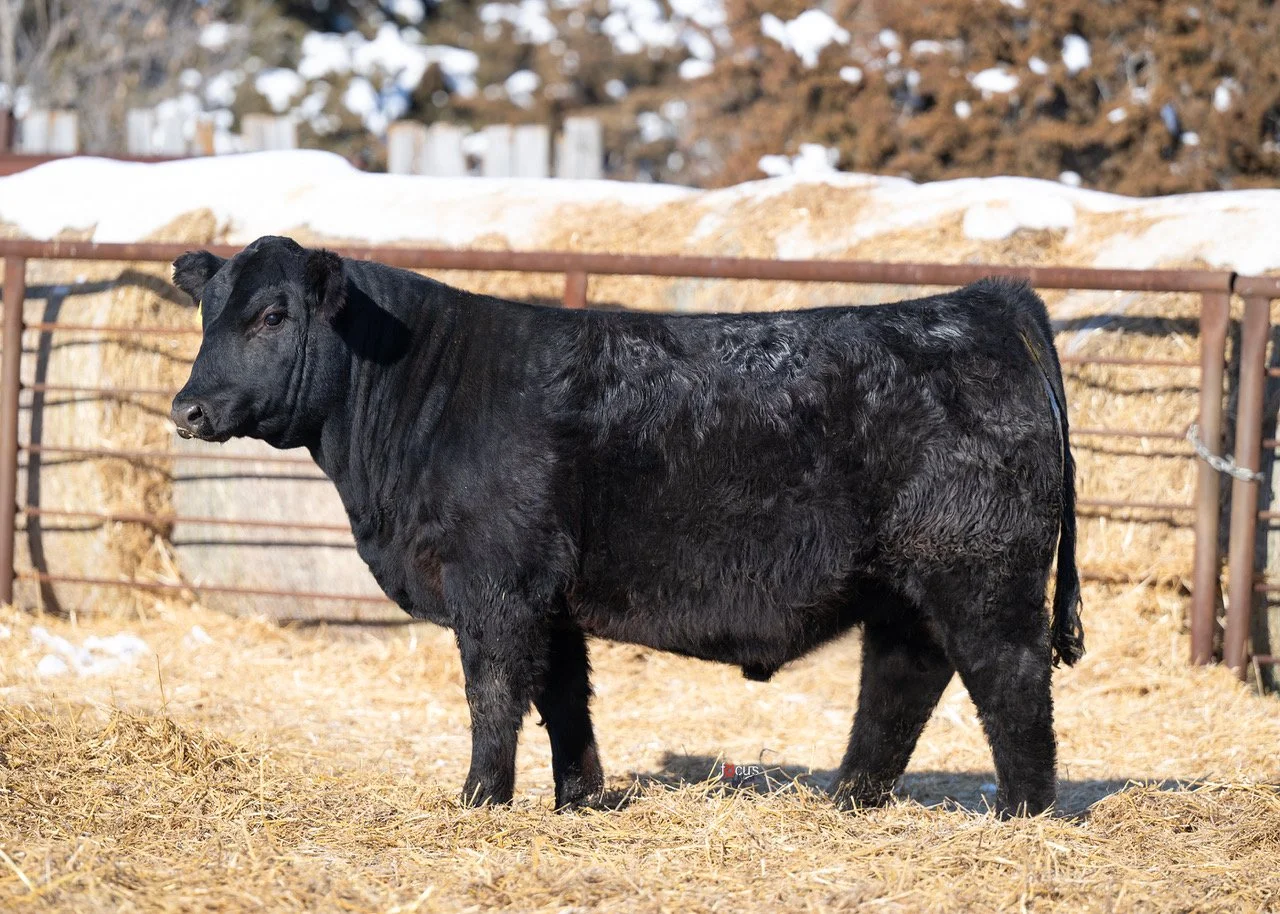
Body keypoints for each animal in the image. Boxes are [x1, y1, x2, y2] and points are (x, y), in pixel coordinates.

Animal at [170, 235, 1084, 817]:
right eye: (207, 312)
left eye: (272, 316)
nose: (189, 408)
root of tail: (982, 302)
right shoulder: (549, 597)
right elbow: (563, 698)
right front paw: (577, 800)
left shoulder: (497, 587)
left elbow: (494, 694)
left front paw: (478, 800)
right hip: (903, 585)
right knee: (901, 683)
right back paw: (848, 802)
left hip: (982, 573)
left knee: (1010, 681)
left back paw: (1023, 816)